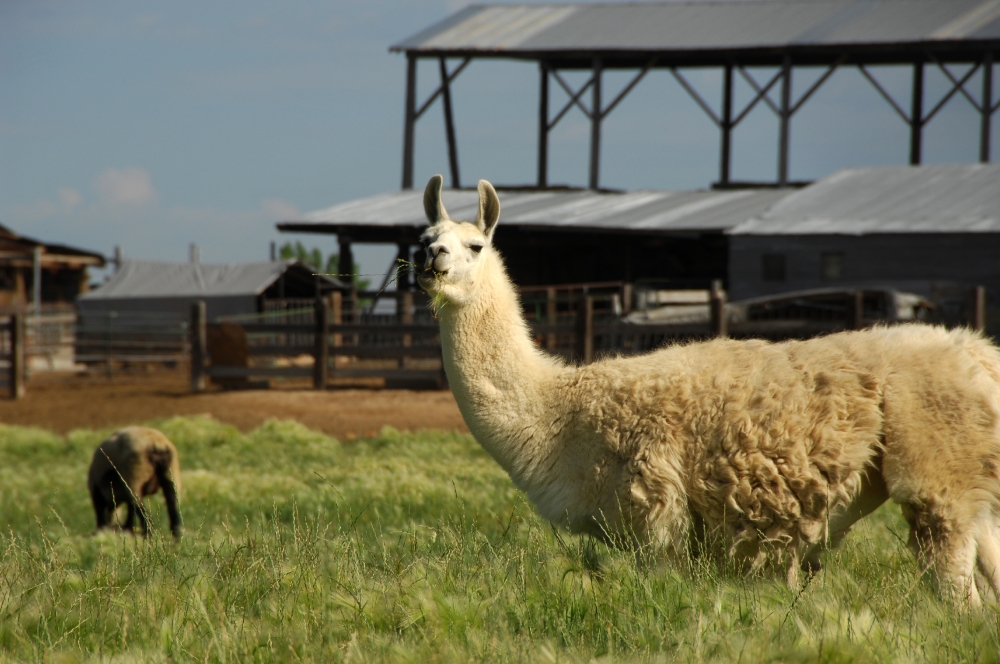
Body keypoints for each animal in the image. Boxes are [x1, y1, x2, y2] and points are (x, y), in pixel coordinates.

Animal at [416, 174, 1000, 606]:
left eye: (475, 244)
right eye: (425, 239)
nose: (433, 259)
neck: (560, 416)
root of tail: (977, 353)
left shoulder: (656, 513)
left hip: (937, 465)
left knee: (955, 581)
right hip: (976, 480)